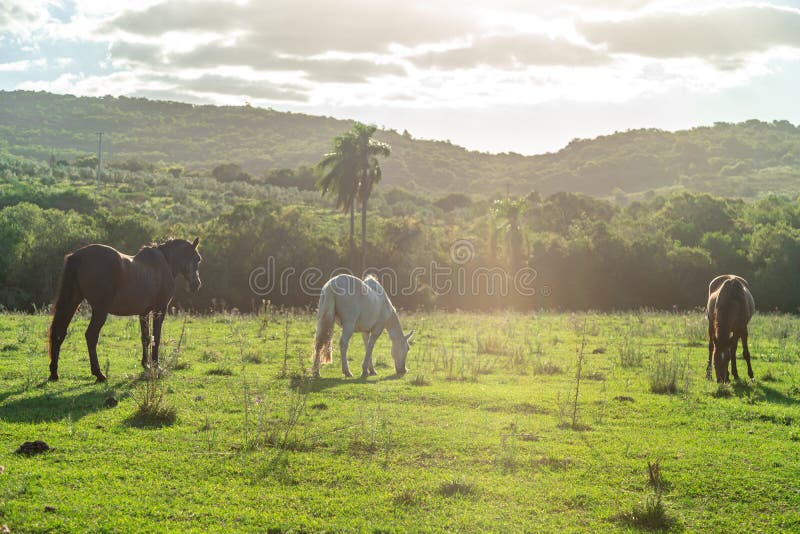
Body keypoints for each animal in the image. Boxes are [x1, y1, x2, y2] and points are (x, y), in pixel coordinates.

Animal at [48, 238, 202, 382]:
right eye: (197, 259)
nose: (197, 284)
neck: (164, 263)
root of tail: (78, 256)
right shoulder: (160, 310)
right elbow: (156, 338)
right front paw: (156, 365)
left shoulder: (144, 312)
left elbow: (146, 337)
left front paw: (146, 364)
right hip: (100, 310)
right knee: (91, 336)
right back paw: (99, 374)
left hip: (72, 303)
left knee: (59, 333)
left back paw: (54, 373)